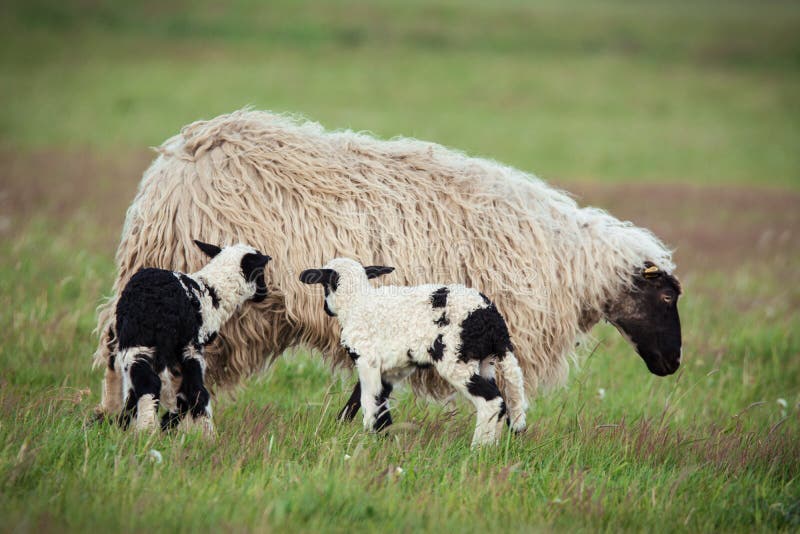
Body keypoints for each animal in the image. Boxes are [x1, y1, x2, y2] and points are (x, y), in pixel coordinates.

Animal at [112, 240, 271, 433]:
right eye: (260, 272)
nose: (266, 293)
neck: (213, 291)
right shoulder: (192, 345)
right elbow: (193, 390)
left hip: (135, 339)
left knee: (140, 383)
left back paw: (133, 427)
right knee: (172, 386)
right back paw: (155, 429)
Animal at [299, 258, 528, 447]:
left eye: (323, 286)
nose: (326, 309)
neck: (356, 302)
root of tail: (493, 322)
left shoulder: (367, 360)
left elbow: (369, 402)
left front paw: (368, 441)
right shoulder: (390, 371)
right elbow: (373, 404)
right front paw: (380, 439)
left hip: (456, 359)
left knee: (491, 401)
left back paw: (478, 449)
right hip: (484, 361)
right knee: (502, 403)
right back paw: (492, 446)